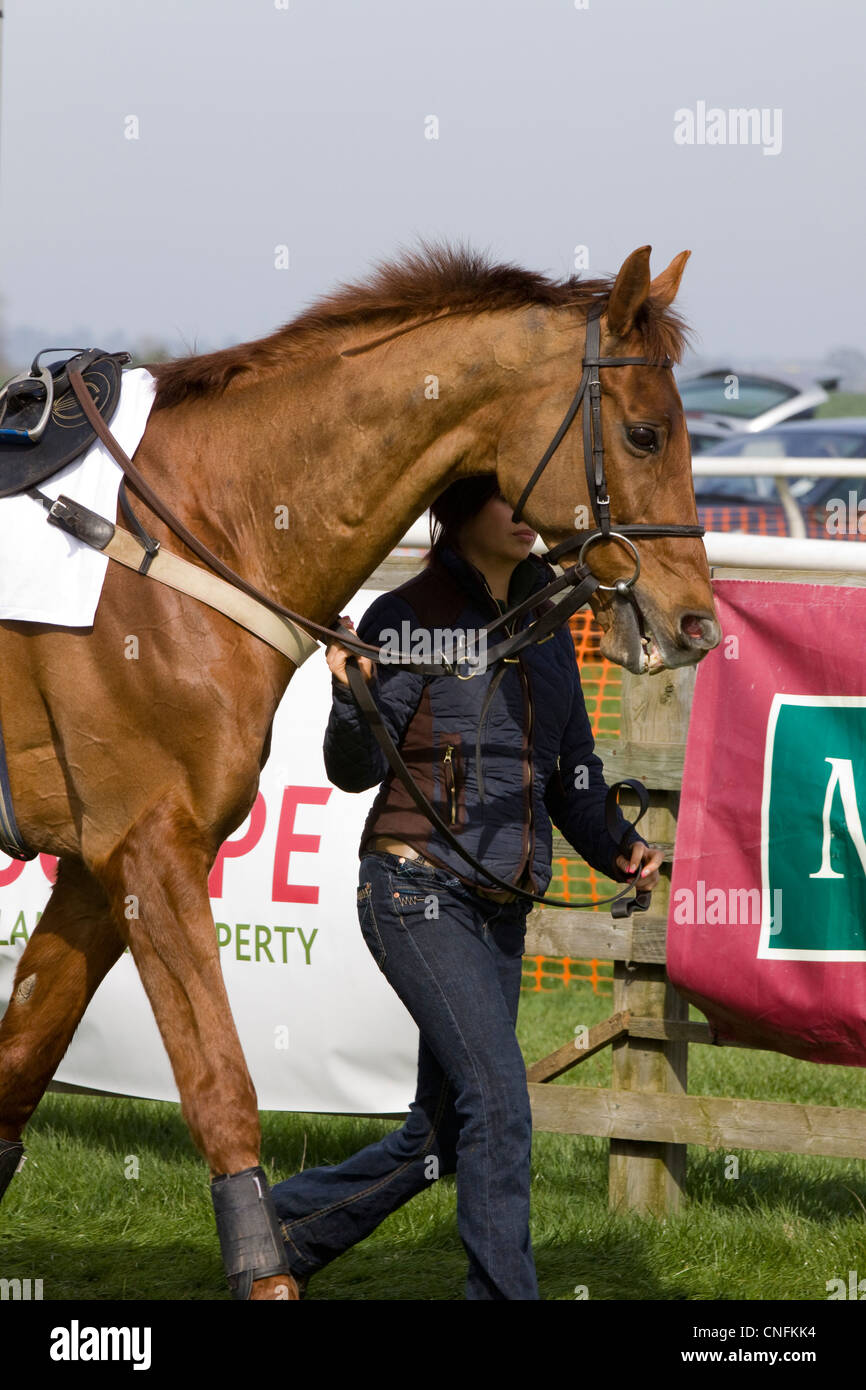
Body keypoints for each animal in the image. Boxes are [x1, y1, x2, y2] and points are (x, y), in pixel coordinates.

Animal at [0, 242, 720, 1298]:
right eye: (643, 432)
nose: (697, 622)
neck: (177, 537)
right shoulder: (151, 852)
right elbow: (222, 1088)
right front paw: (269, 1270)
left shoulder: (97, 868)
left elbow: (18, 1064)